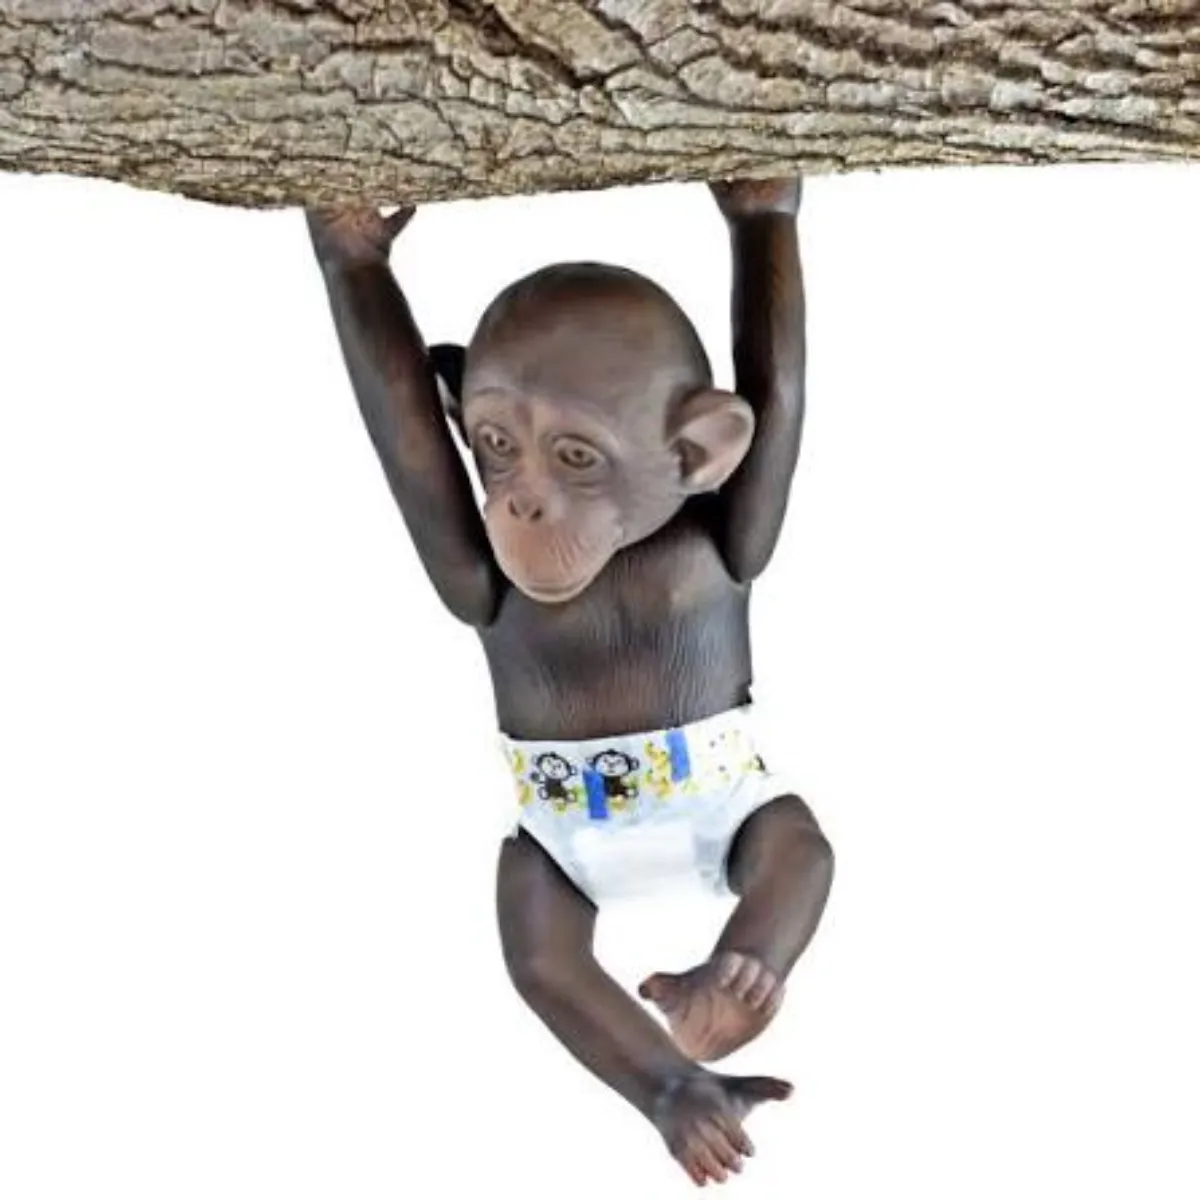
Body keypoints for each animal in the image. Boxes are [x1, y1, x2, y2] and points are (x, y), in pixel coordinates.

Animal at [306, 178, 834, 1187]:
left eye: (576, 455)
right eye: (493, 442)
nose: (521, 503)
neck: (624, 550)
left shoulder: (731, 536)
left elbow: (776, 415)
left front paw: (762, 205)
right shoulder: (477, 573)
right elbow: (417, 458)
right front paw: (351, 241)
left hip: (745, 807)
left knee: (797, 845)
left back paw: (729, 994)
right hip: (542, 864)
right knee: (543, 954)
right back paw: (690, 1091)